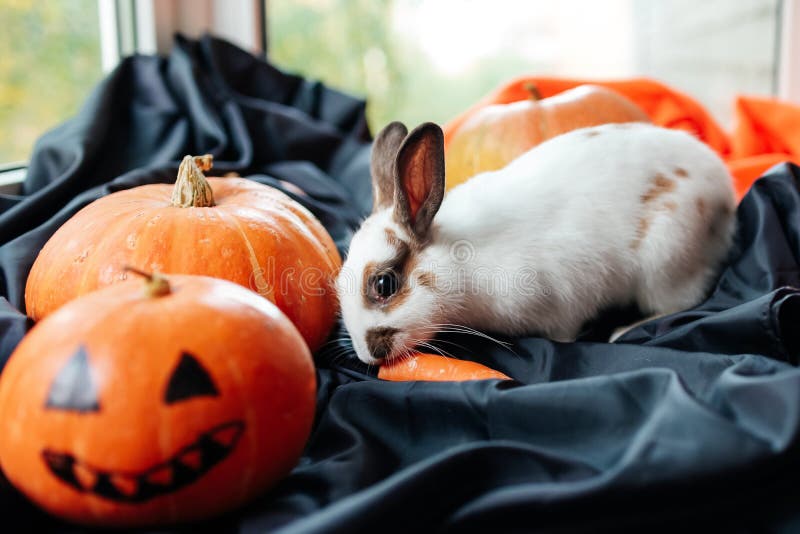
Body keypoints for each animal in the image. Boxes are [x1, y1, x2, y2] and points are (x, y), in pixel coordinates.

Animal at [336, 121, 737, 364]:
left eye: (383, 284)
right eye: (338, 283)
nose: (366, 354)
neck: (461, 263)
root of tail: (724, 194)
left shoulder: (564, 299)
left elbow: (565, 334)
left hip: (666, 262)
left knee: (685, 301)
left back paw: (626, 329)